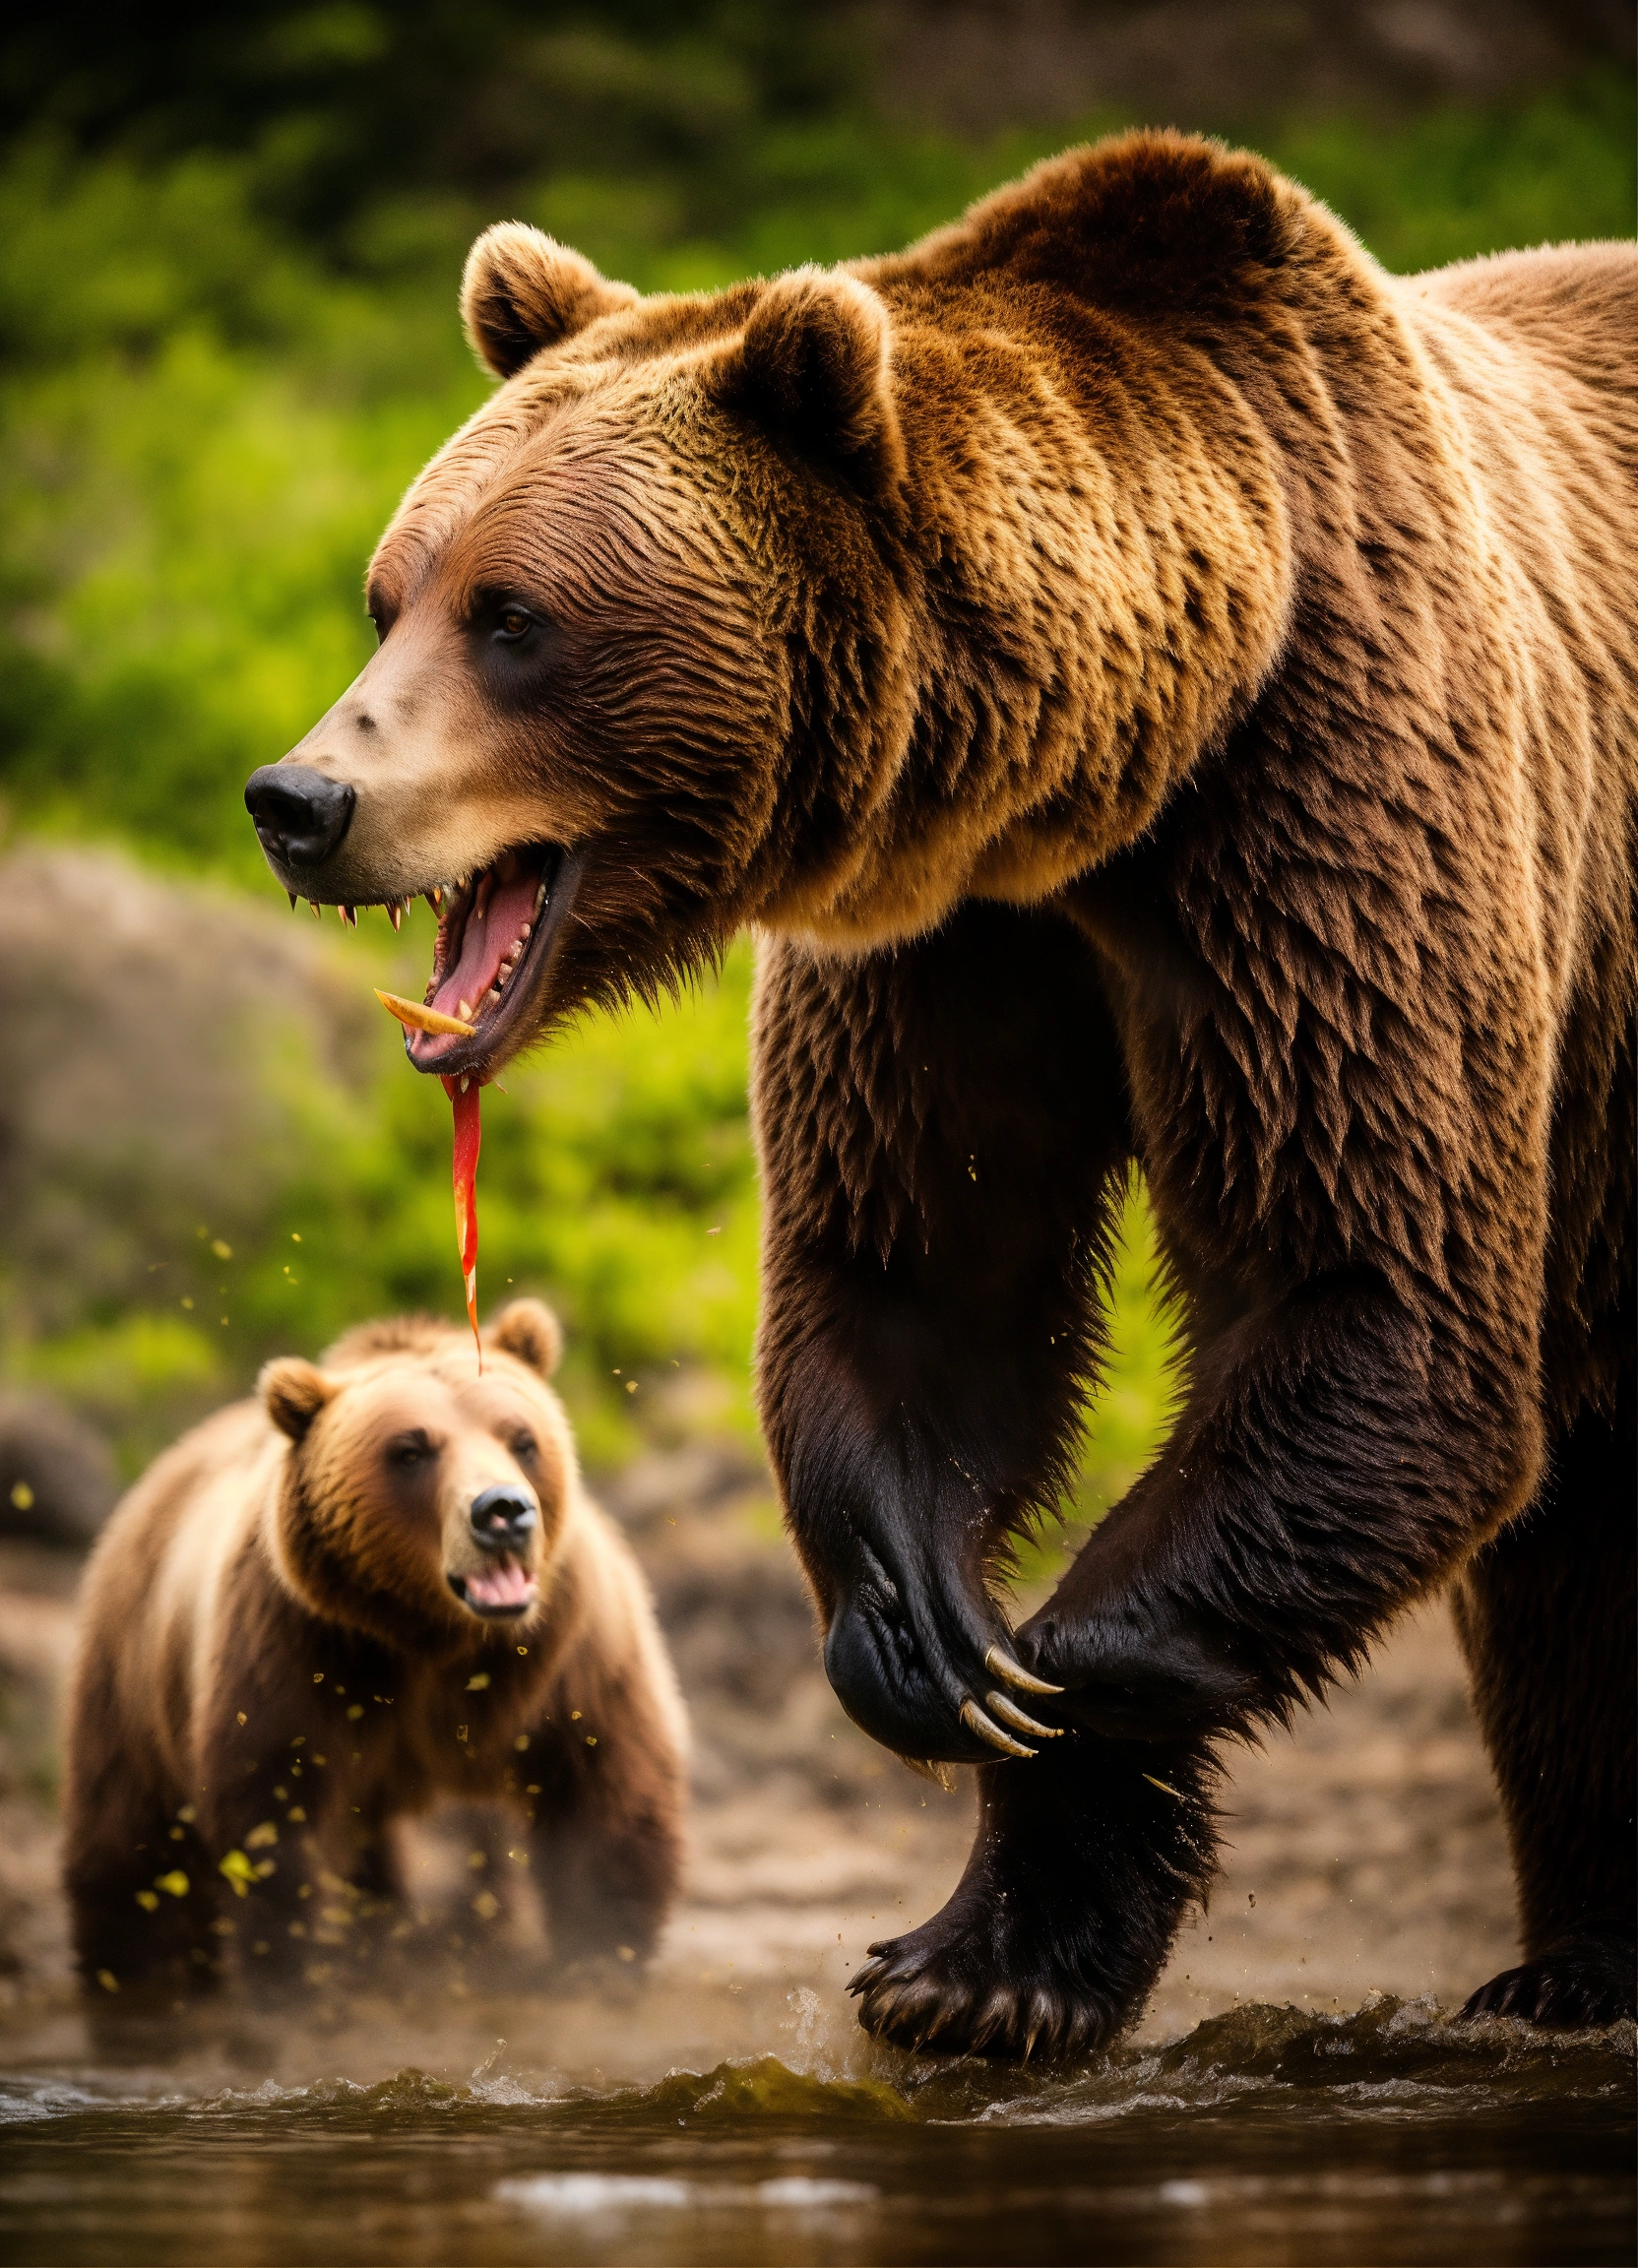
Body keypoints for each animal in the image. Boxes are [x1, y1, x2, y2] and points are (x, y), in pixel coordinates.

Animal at [64, 1300, 687, 2000]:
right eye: (411, 1449)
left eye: (522, 1438)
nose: (502, 1511)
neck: (434, 1638)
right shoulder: (298, 1652)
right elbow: (273, 1824)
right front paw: (291, 1976)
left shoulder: (568, 1658)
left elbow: (606, 1802)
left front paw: (599, 1960)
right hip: (133, 1674)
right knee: (132, 1849)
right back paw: (132, 1975)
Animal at [244, 129, 1636, 2056]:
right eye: (394, 594)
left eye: (512, 617)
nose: (299, 798)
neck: (1119, 761)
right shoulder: (948, 937)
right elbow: (917, 1274)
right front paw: (917, 1647)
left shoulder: (1333, 814)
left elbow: (1364, 1293)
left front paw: (1008, 1805)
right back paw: (1570, 1954)